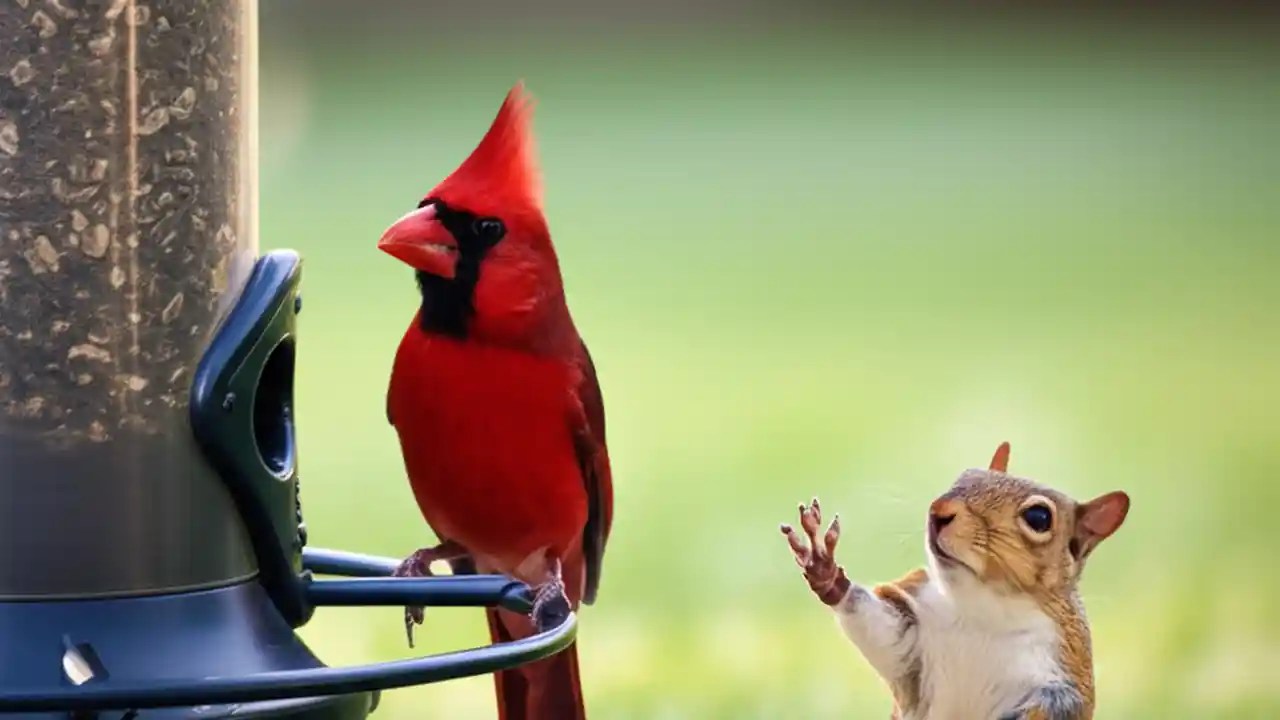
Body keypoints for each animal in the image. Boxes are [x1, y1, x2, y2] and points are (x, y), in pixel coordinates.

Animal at [781, 442, 1129, 720]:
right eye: (964, 476)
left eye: (1039, 518)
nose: (938, 511)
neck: (983, 609)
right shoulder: (914, 644)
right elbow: (885, 635)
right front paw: (824, 570)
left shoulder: (1062, 678)